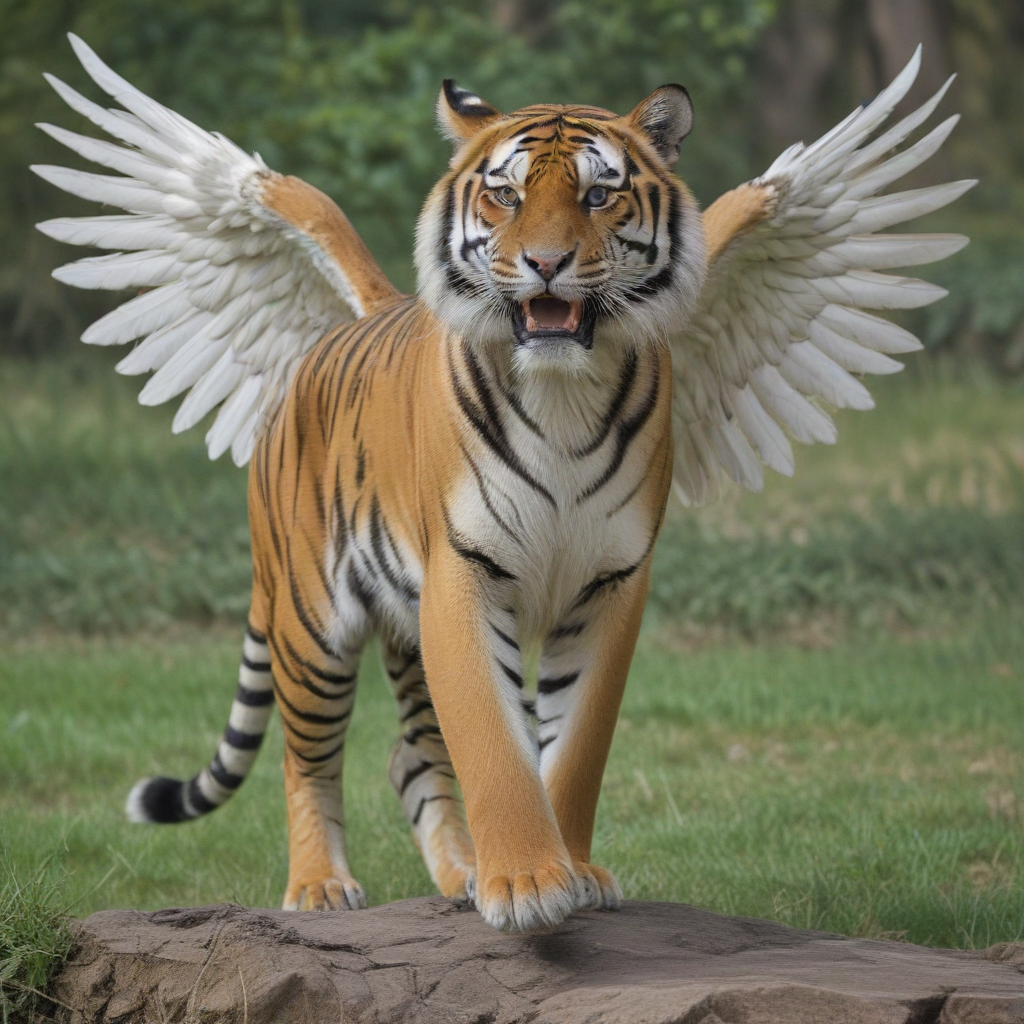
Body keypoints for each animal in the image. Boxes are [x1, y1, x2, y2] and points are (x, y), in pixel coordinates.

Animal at [38, 38, 971, 932]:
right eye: (505, 196)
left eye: (600, 197)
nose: (546, 263)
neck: (561, 391)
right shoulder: (463, 574)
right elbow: (492, 742)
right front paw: (524, 884)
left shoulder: (611, 584)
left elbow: (574, 747)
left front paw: (568, 872)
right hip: (313, 616)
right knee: (310, 757)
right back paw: (320, 887)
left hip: (397, 627)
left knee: (409, 754)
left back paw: (459, 876)